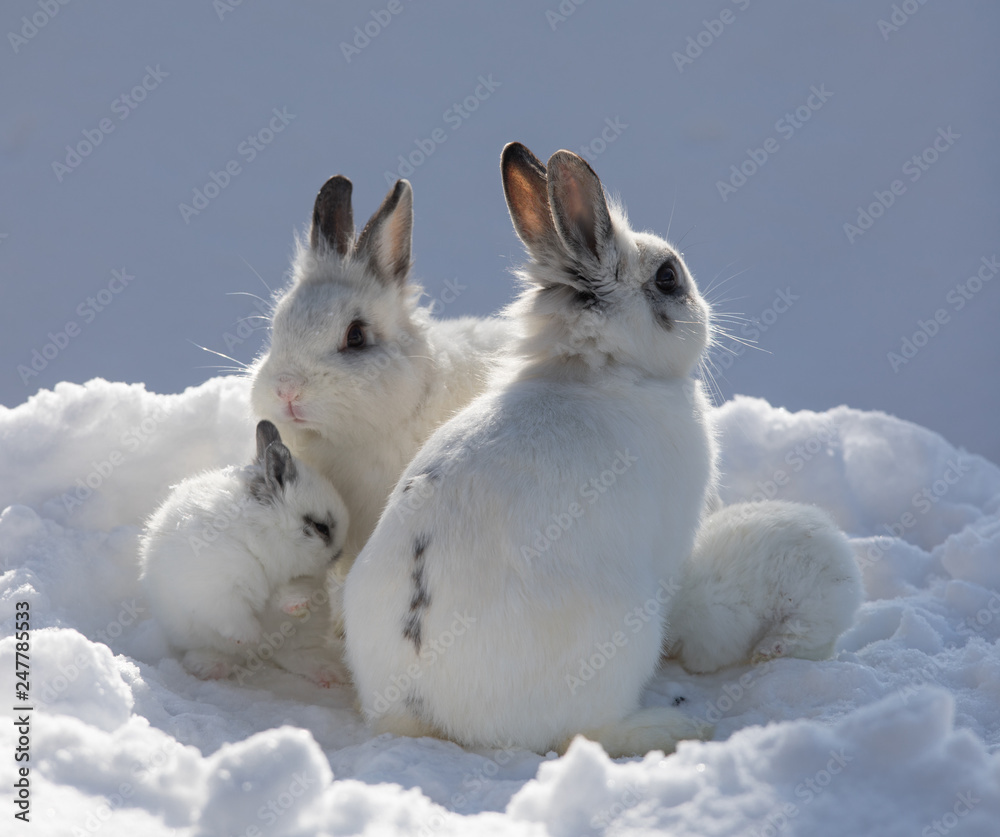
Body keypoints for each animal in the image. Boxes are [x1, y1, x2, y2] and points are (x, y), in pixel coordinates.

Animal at [139, 420, 350, 684]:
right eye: (320, 527)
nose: (339, 554)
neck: (262, 538)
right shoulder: (219, 586)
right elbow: (233, 615)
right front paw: (250, 636)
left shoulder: (301, 579)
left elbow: (290, 593)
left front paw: (296, 605)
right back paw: (208, 667)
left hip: (306, 633)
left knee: (297, 655)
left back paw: (329, 673)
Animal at [343, 143, 718, 757]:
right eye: (668, 277)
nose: (707, 313)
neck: (597, 370)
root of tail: (423, 708)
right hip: (624, 631)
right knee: (583, 731)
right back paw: (673, 725)